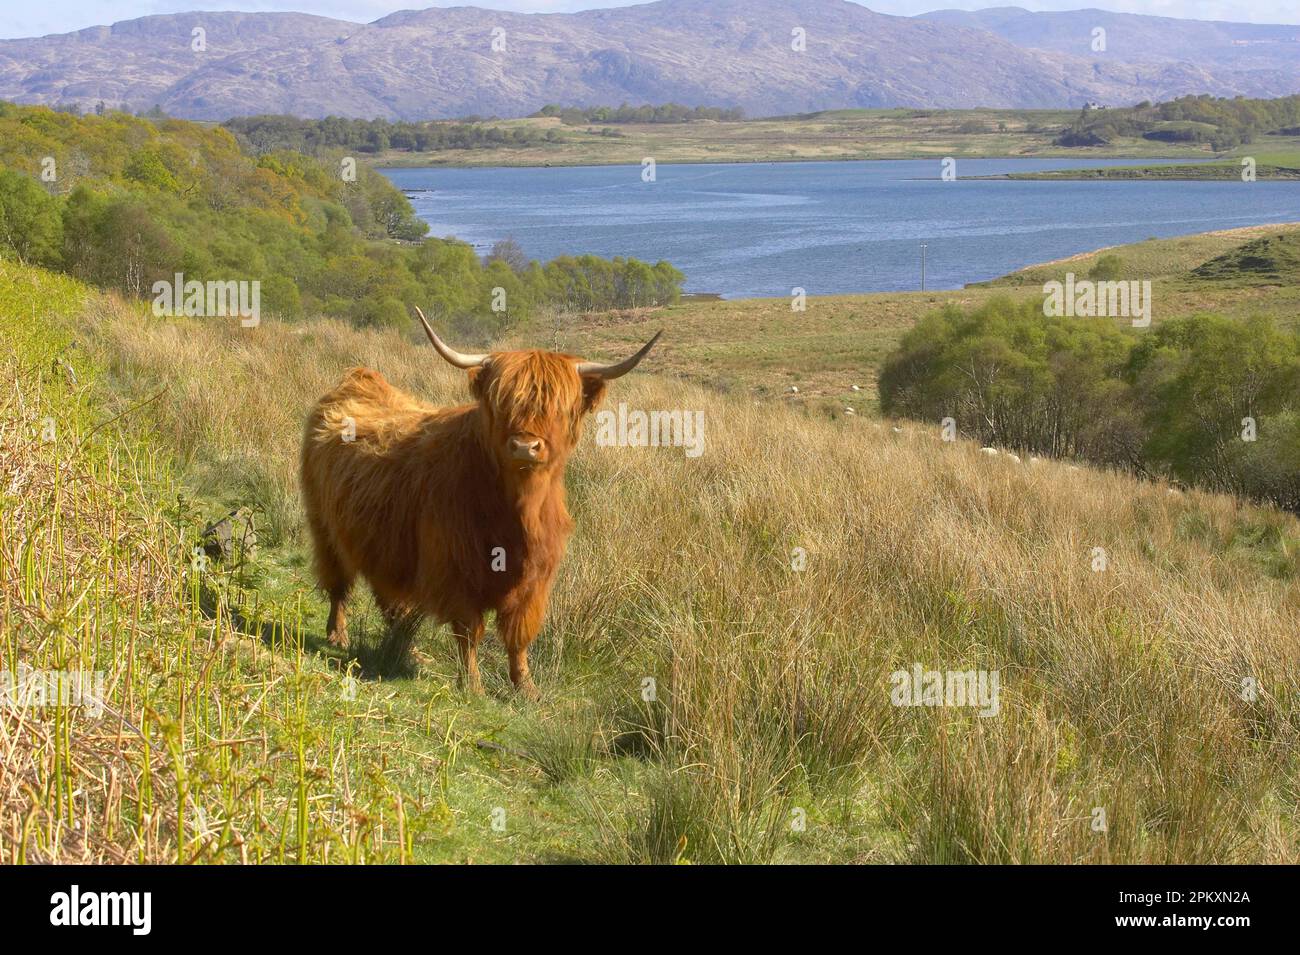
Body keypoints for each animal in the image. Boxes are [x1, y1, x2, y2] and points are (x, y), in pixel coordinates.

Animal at [300, 307, 660, 698]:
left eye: (558, 408)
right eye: (503, 404)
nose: (524, 446)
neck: (517, 508)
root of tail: (359, 379)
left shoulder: (536, 579)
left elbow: (519, 635)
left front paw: (526, 687)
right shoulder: (457, 569)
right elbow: (469, 631)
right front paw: (472, 685)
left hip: (383, 542)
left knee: (389, 596)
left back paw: (407, 649)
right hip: (324, 527)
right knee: (338, 583)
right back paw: (338, 634)